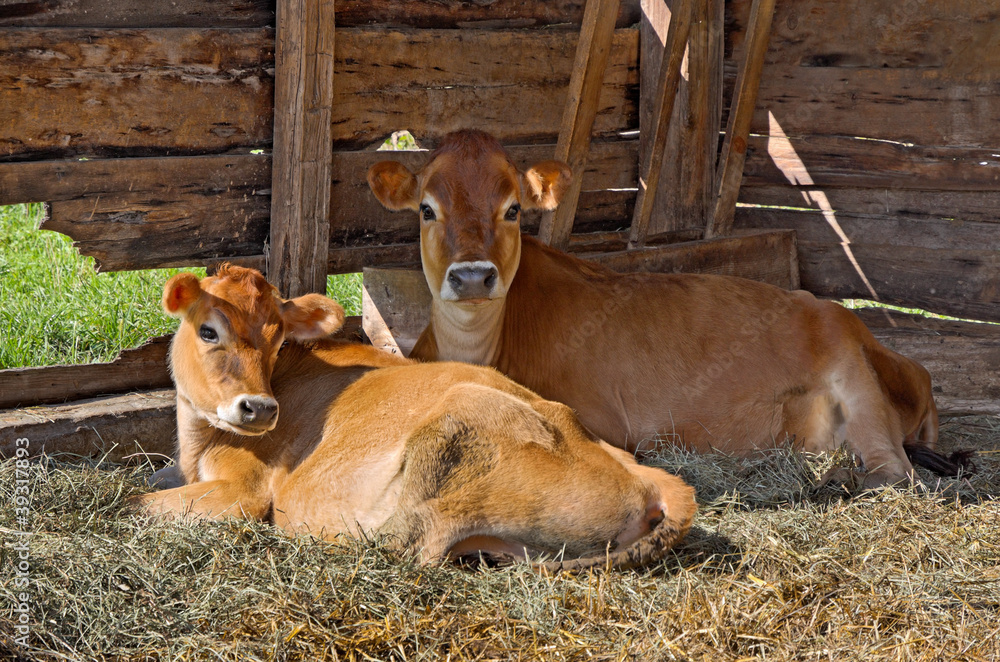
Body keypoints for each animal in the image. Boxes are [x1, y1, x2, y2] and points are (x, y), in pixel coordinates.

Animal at [133, 265, 697, 571]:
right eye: (208, 330)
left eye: (277, 338)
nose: (260, 408)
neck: (199, 440)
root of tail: (652, 476)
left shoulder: (244, 491)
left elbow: (135, 504)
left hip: (453, 436)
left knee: (411, 545)